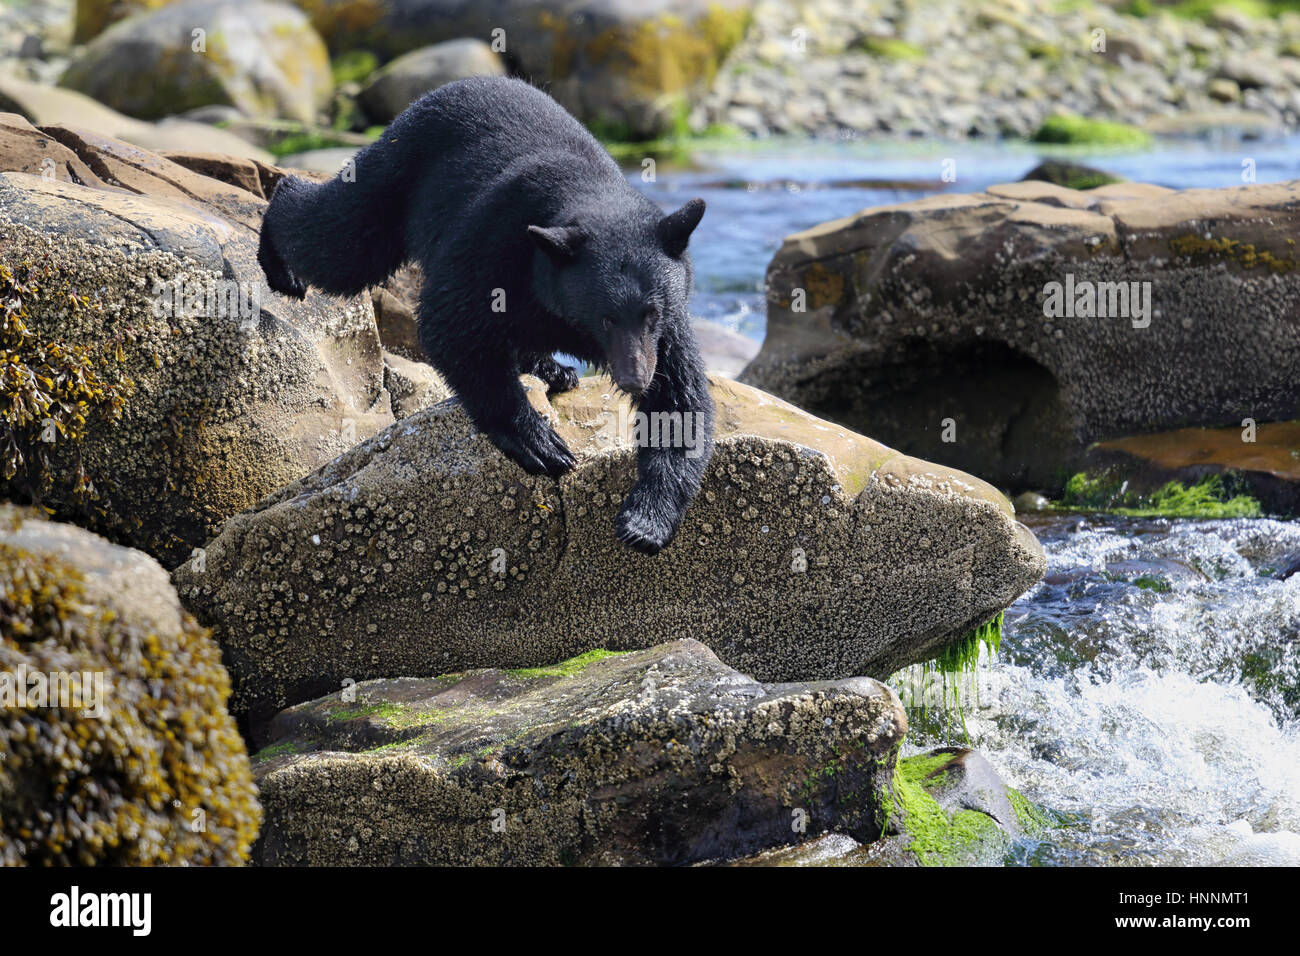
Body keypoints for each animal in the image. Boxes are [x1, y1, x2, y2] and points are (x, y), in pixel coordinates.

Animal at [256, 76, 714, 555]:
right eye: (605, 317)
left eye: (651, 312)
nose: (635, 379)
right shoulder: (494, 241)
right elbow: (451, 323)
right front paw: (539, 442)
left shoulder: (670, 322)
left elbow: (680, 400)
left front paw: (645, 520)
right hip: (397, 174)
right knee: (340, 238)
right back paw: (280, 250)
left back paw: (553, 369)